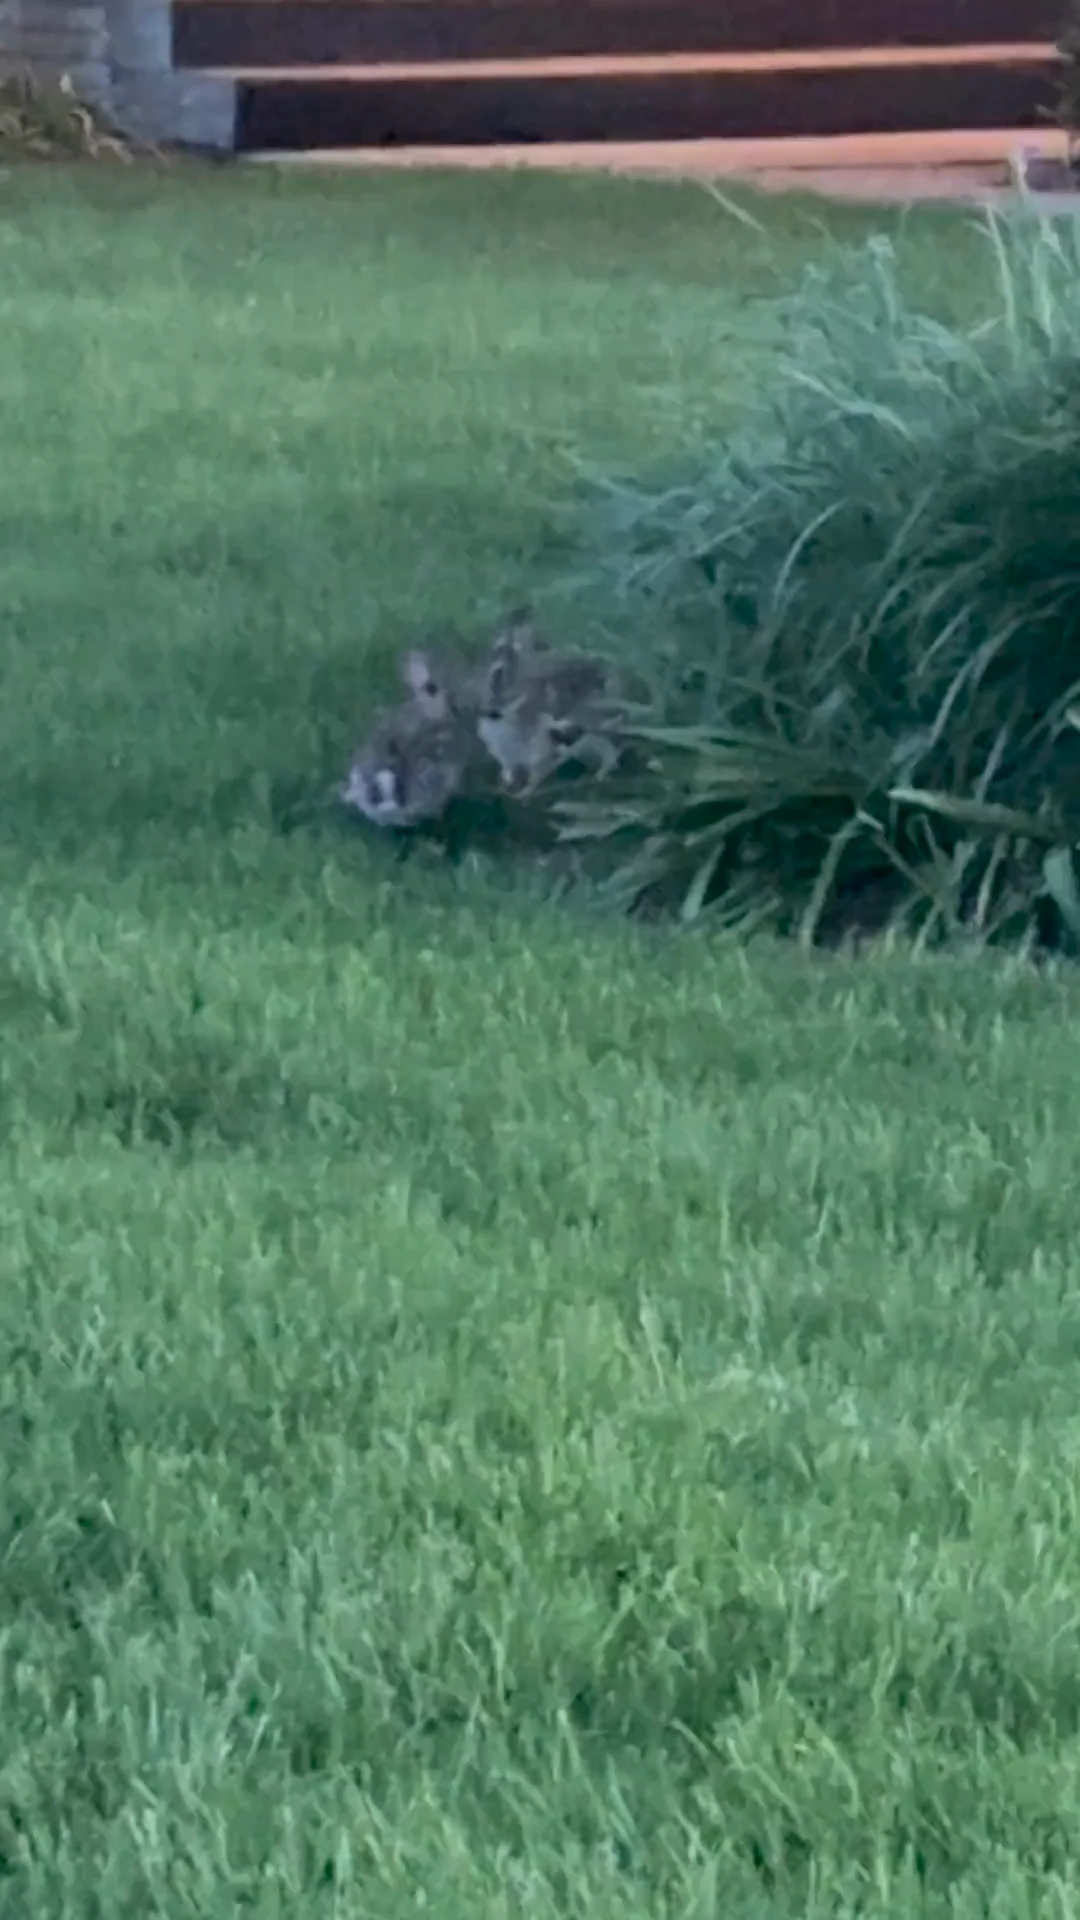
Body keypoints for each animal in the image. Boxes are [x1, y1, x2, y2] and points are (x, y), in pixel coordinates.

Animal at [473, 609, 623, 792]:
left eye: (497, 675)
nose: (484, 709)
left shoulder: (541, 751)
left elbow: (536, 774)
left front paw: (524, 792)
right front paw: (506, 785)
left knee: (608, 751)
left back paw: (598, 776)